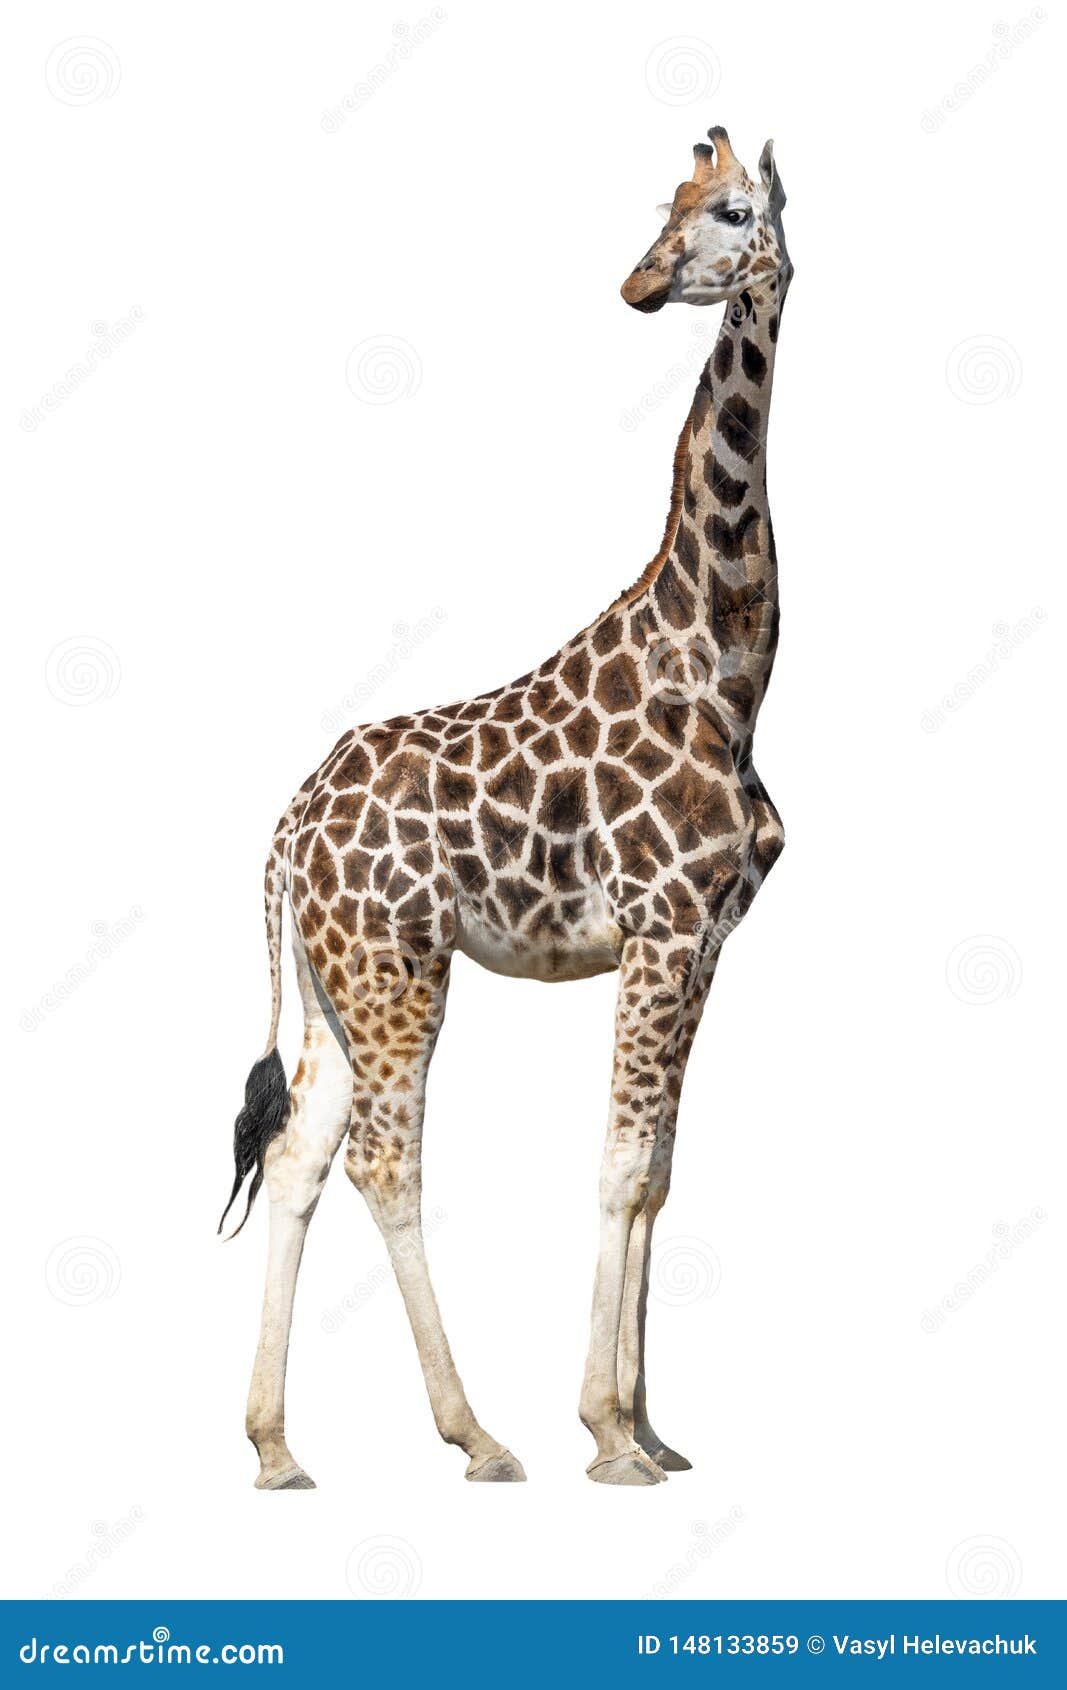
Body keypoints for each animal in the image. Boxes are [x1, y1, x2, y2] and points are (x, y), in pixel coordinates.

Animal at [222, 125, 792, 1489]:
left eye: (729, 210)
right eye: (673, 203)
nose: (640, 282)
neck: (729, 666)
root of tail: (286, 831)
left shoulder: (702, 941)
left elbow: (659, 1171)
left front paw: (653, 1430)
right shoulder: (658, 928)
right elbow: (622, 1167)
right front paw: (607, 1434)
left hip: (332, 982)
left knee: (296, 1151)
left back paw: (275, 1446)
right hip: (399, 968)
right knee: (383, 1158)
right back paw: (476, 1433)